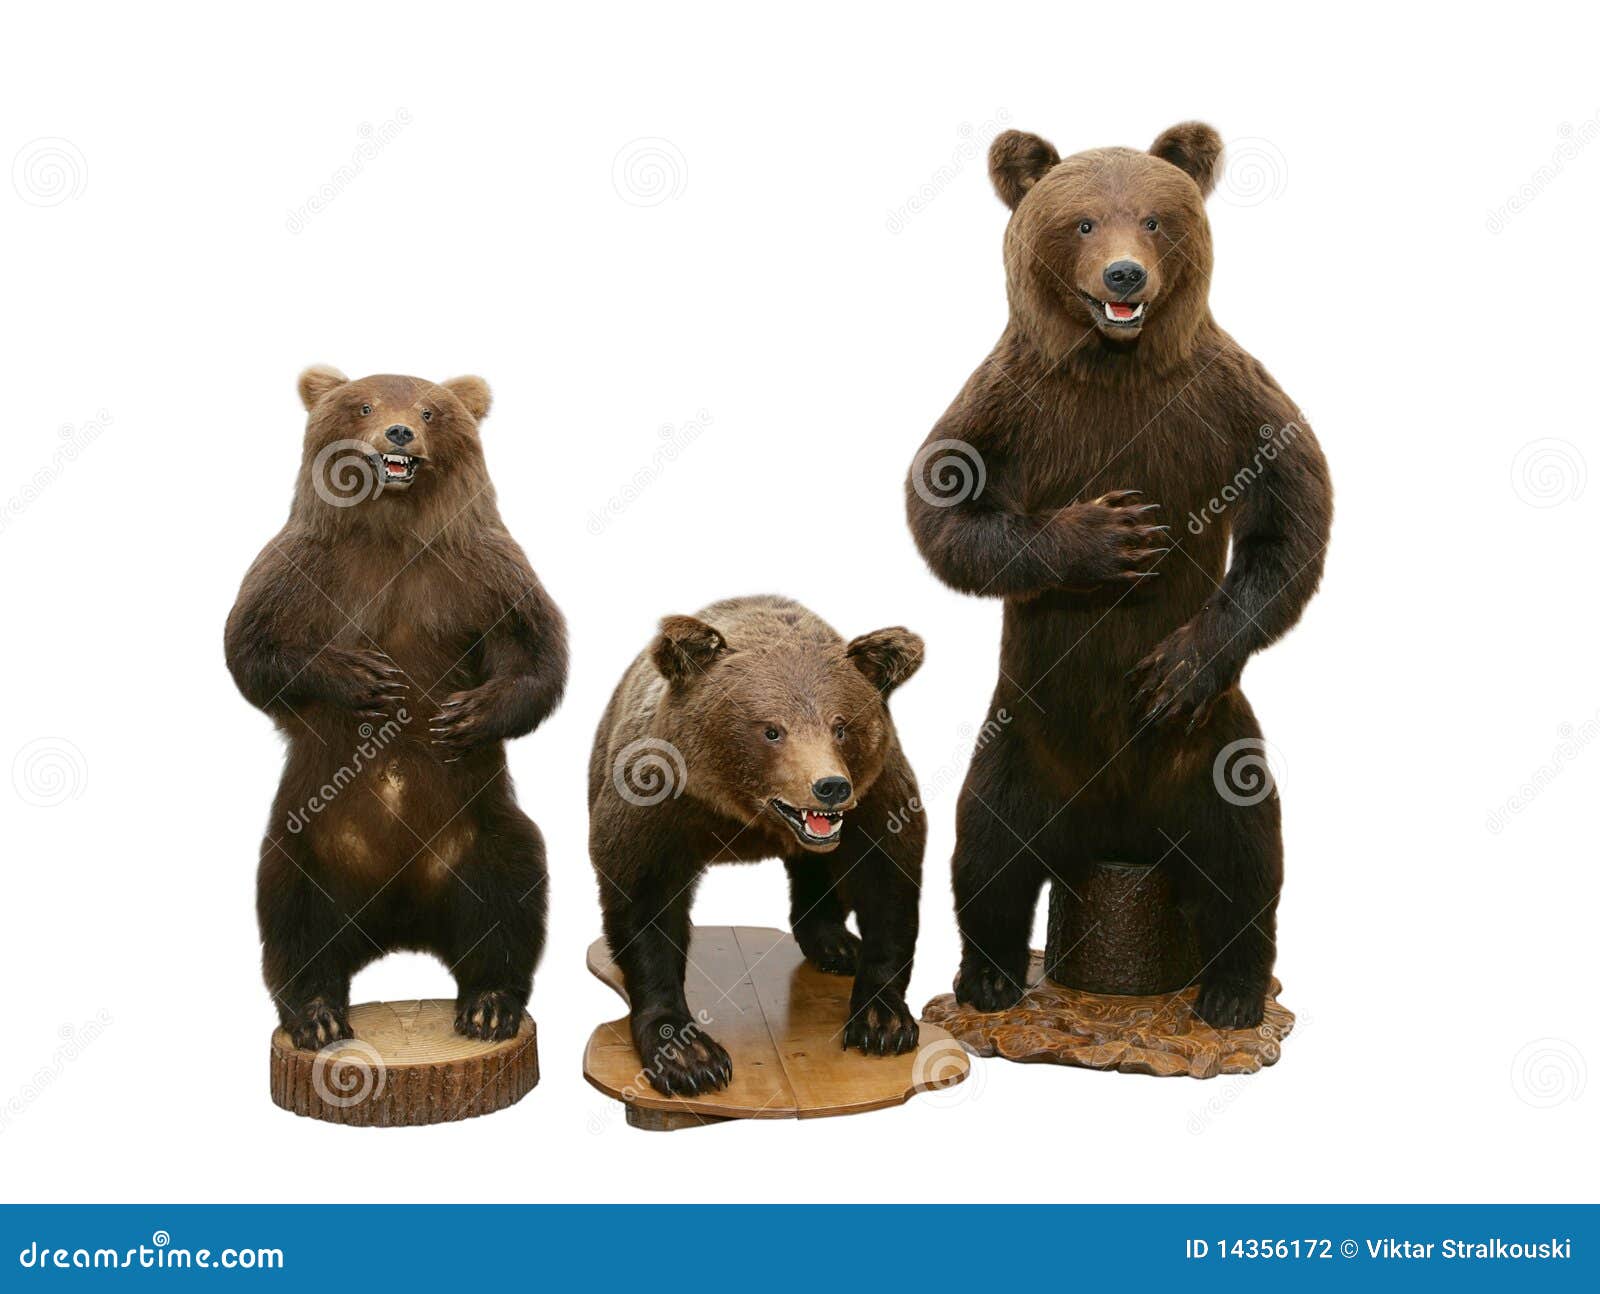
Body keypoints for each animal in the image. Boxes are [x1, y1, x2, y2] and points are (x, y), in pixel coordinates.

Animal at [225, 367, 567, 1048]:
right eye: (364, 404)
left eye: (431, 410)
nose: (400, 431)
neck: (392, 526)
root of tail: (398, 918)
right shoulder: (298, 568)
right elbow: (252, 652)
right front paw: (363, 677)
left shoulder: (485, 573)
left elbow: (535, 655)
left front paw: (465, 713)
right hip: (308, 839)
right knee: (291, 914)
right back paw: (316, 1013)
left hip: (479, 833)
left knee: (511, 894)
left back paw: (489, 1005)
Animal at [587, 595, 925, 1096]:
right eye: (771, 730)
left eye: (841, 726)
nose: (830, 787)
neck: (742, 812)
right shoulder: (657, 803)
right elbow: (644, 904)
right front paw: (690, 1057)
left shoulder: (875, 795)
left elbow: (888, 884)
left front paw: (882, 1022)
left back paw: (836, 943)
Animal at [905, 122, 1332, 1028]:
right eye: (1083, 223)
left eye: (1156, 218)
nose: (1125, 274)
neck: (1114, 363)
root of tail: (1119, 833)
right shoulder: (1009, 400)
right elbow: (945, 510)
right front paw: (1110, 534)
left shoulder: (1223, 396)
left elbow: (1292, 514)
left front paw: (1174, 665)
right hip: (1020, 746)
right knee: (985, 854)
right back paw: (988, 980)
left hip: (1215, 751)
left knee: (1249, 861)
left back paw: (1232, 994)